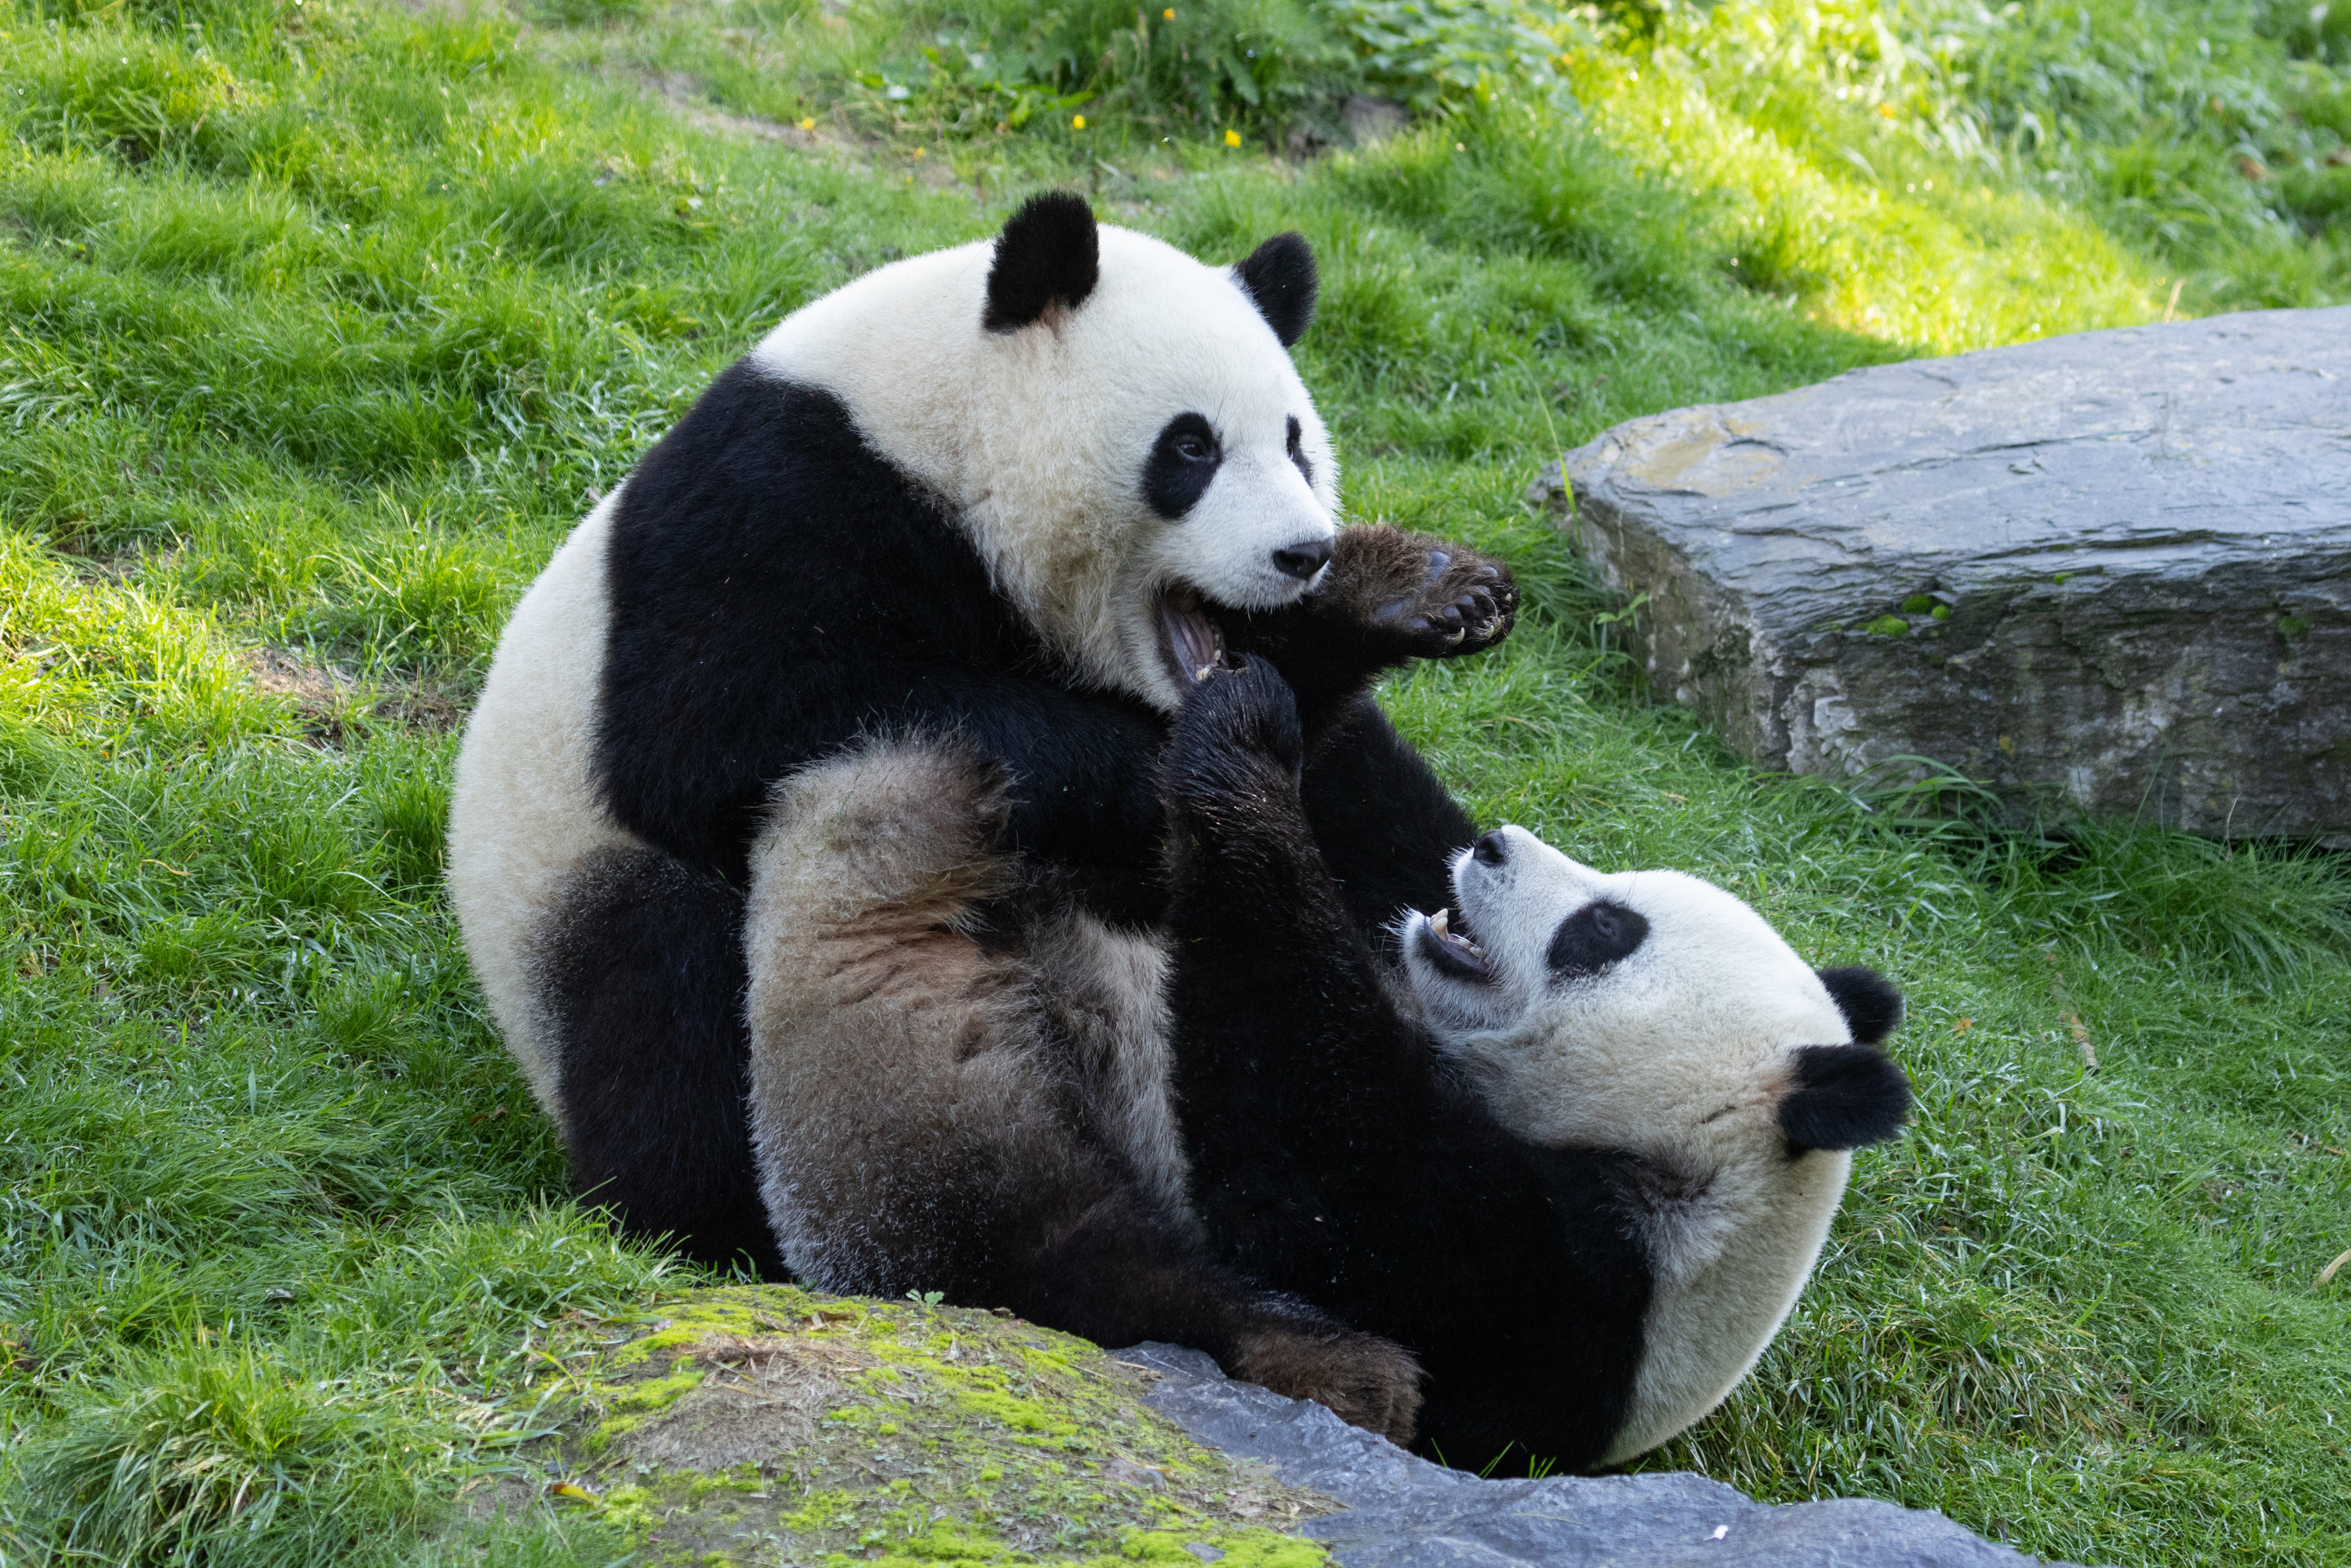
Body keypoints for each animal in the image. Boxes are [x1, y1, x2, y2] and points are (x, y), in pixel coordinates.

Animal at [445, 191, 1517, 1436]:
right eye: (1190, 447)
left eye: (1298, 440)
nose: (1299, 552)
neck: (939, 429)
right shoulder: (779, 509)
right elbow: (724, 730)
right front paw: (1130, 749)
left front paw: (1413, 592)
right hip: (579, 906)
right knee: (664, 990)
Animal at [1148, 656, 1912, 1473]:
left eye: (1604, 927)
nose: (1491, 845)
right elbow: (1387, 825)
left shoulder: (1543, 1293)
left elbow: (1307, 1148)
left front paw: (1244, 748)